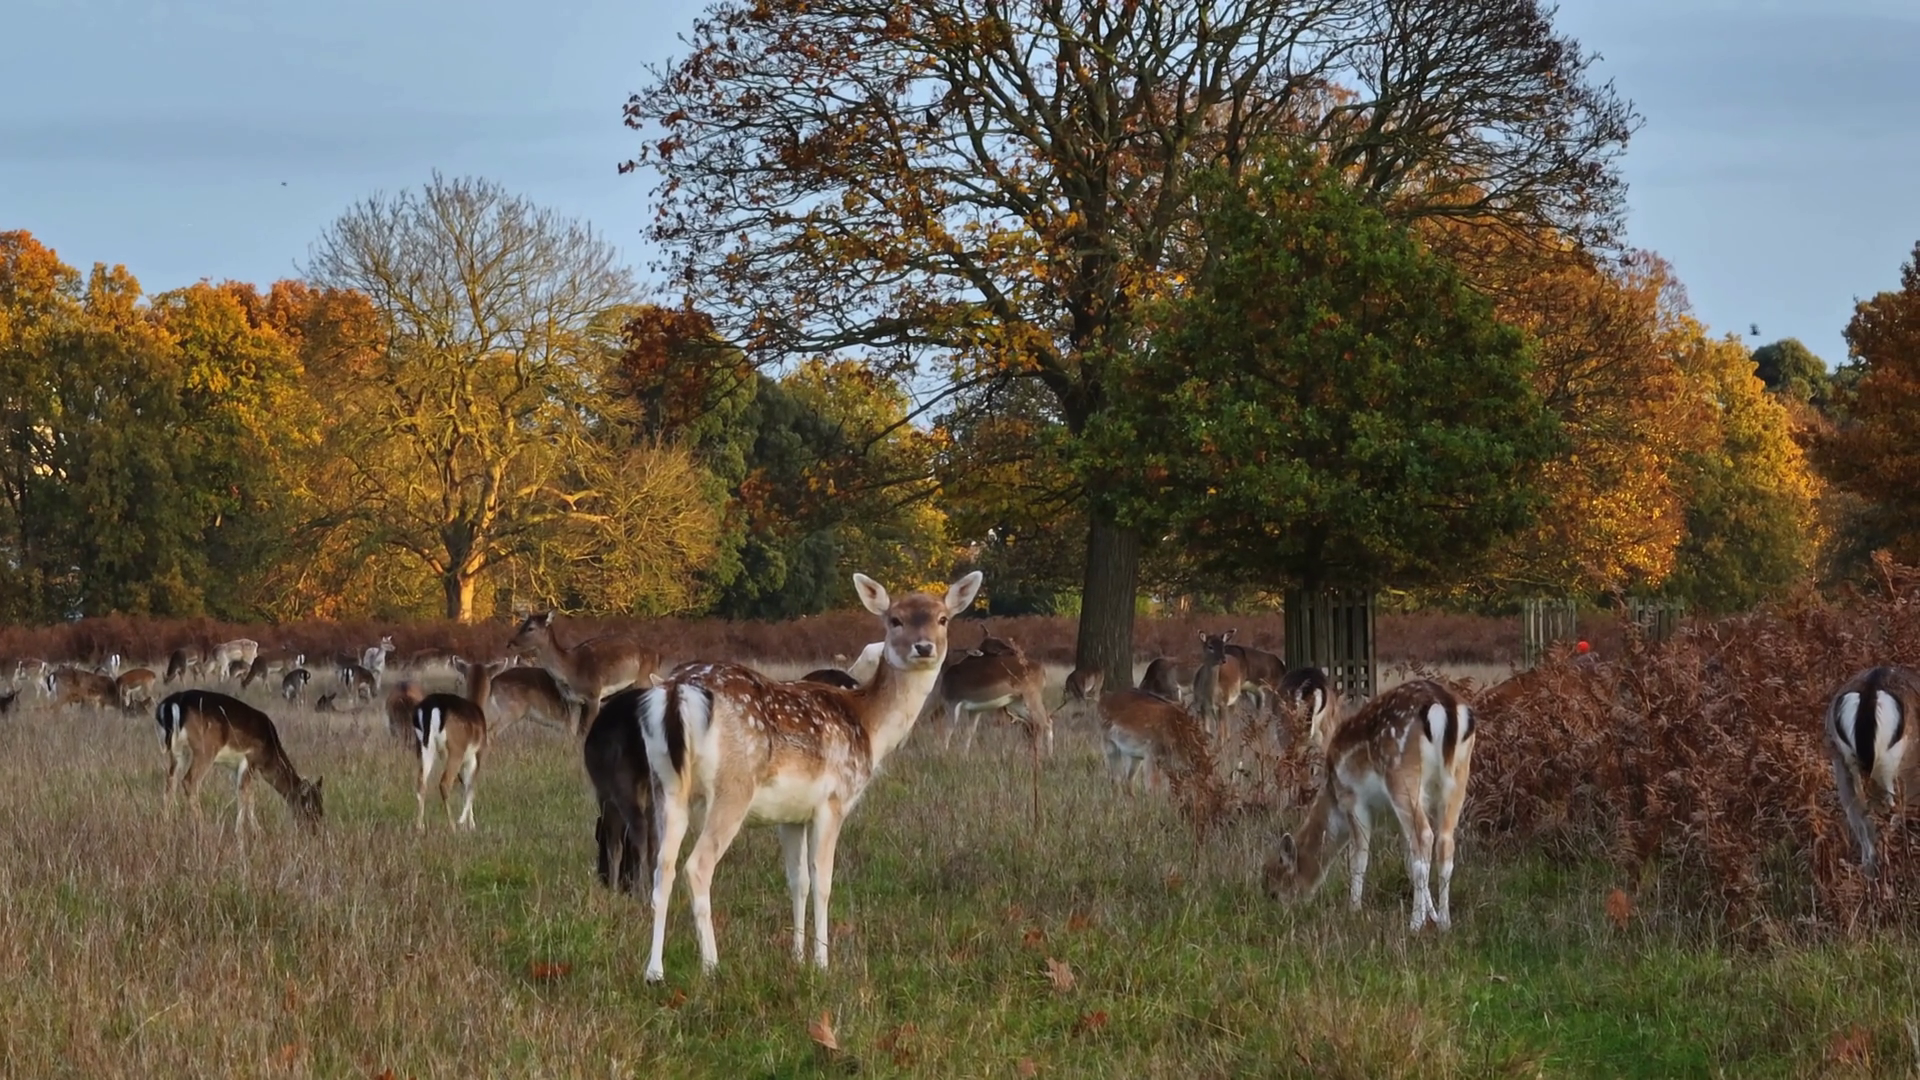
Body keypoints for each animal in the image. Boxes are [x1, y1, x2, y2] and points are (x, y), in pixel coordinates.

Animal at [156, 690, 324, 835]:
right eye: (309, 807)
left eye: (321, 807)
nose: (314, 832)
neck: (269, 753)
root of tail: (172, 704)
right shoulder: (249, 760)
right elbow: (244, 795)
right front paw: (242, 834)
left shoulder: (237, 768)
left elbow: (249, 796)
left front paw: (257, 832)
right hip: (205, 750)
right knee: (189, 781)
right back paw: (203, 829)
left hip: (177, 751)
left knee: (170, 782)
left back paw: (165, 825)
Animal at [408, 660, 496, 831]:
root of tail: (429, 709)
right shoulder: (477, 754)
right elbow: (470, 787)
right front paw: (467, 823)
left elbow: (464, 785)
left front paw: (470, 823)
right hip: (456, 749)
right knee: (444, 783)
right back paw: (452, 826)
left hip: (423, 746)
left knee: (421, 782)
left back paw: (419, 826)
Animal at [508, 612, 657, 730]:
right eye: (522, 625)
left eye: (530, 628)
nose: (511, 643)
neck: (569, 673)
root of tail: (656, 653)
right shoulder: (572, 701)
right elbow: (572, 730)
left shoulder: (594, 695)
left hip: (644, 678)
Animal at [636, 571, 983, 982]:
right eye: (895, 619)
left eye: (943, 619)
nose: (924, 647)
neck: (868, 727)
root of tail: (676, 691)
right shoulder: (833, 800)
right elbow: (823, 881)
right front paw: (822, 962)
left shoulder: (790, 816)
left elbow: (797, 881)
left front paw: (797, 956)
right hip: (733, 785)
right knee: (697, 866)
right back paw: (711, 966)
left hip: (666, 784)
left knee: (662, 867)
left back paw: (654, 971)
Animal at [1263, 678, 1476, 932]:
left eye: (1275, 892)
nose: (1276, 913)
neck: (1333, 799)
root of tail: (1445, 705)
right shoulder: (1396, 820)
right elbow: (1409, 859)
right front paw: (1431, 915)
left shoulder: (1353, 800)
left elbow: (1359, 858)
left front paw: (1353, 910)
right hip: (1458, 776)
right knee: (1444, 842)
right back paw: (1445, 923)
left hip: (1401, 774)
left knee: (1425, 835)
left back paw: (1414, 924)